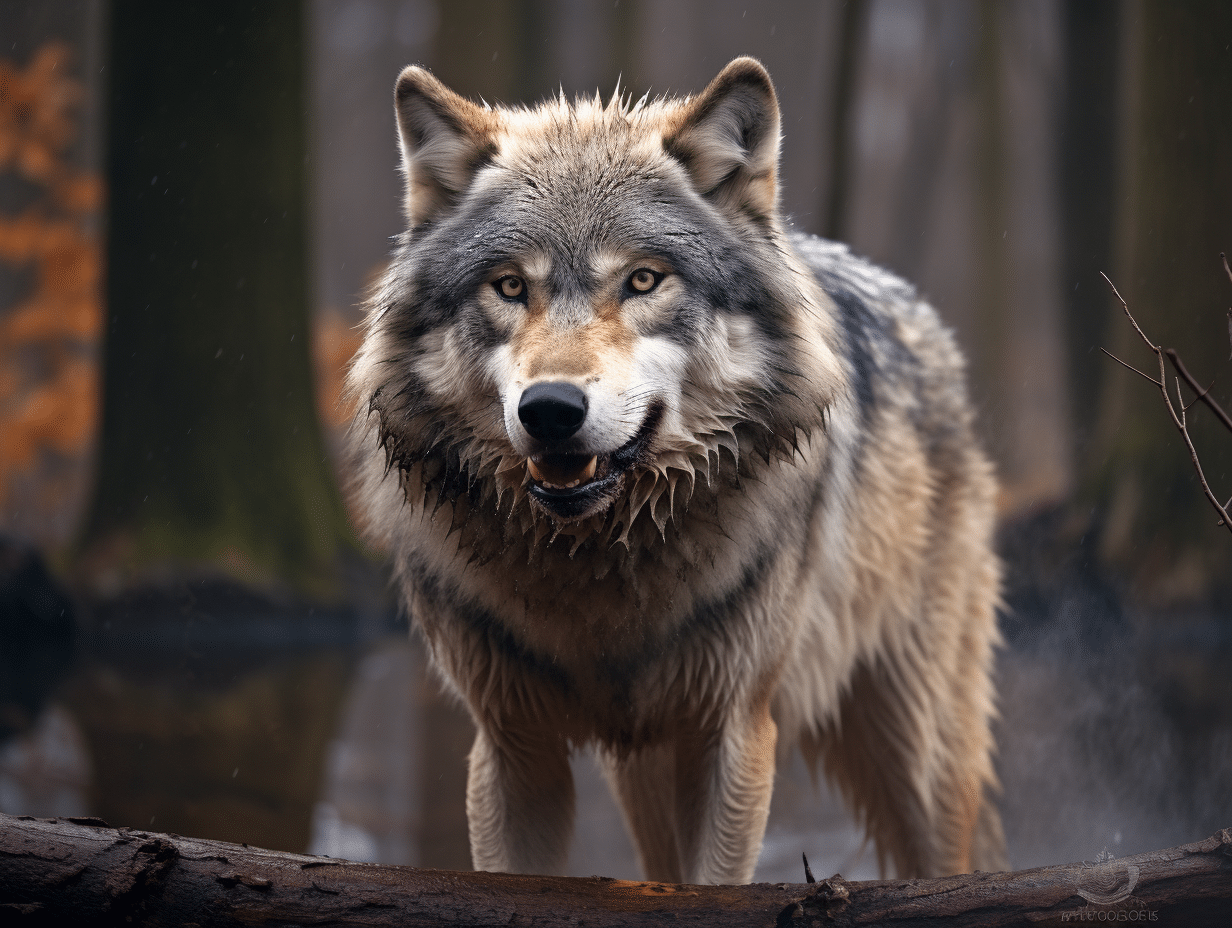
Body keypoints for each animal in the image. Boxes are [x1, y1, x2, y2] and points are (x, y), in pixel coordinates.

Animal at [346, 57, 1005, 884]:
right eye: (509, 286)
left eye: (643, 281)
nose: (550, 409)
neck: (600, 569)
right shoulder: (512, 745)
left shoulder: (730, 734)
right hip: (646, 772)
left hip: (914, 760)